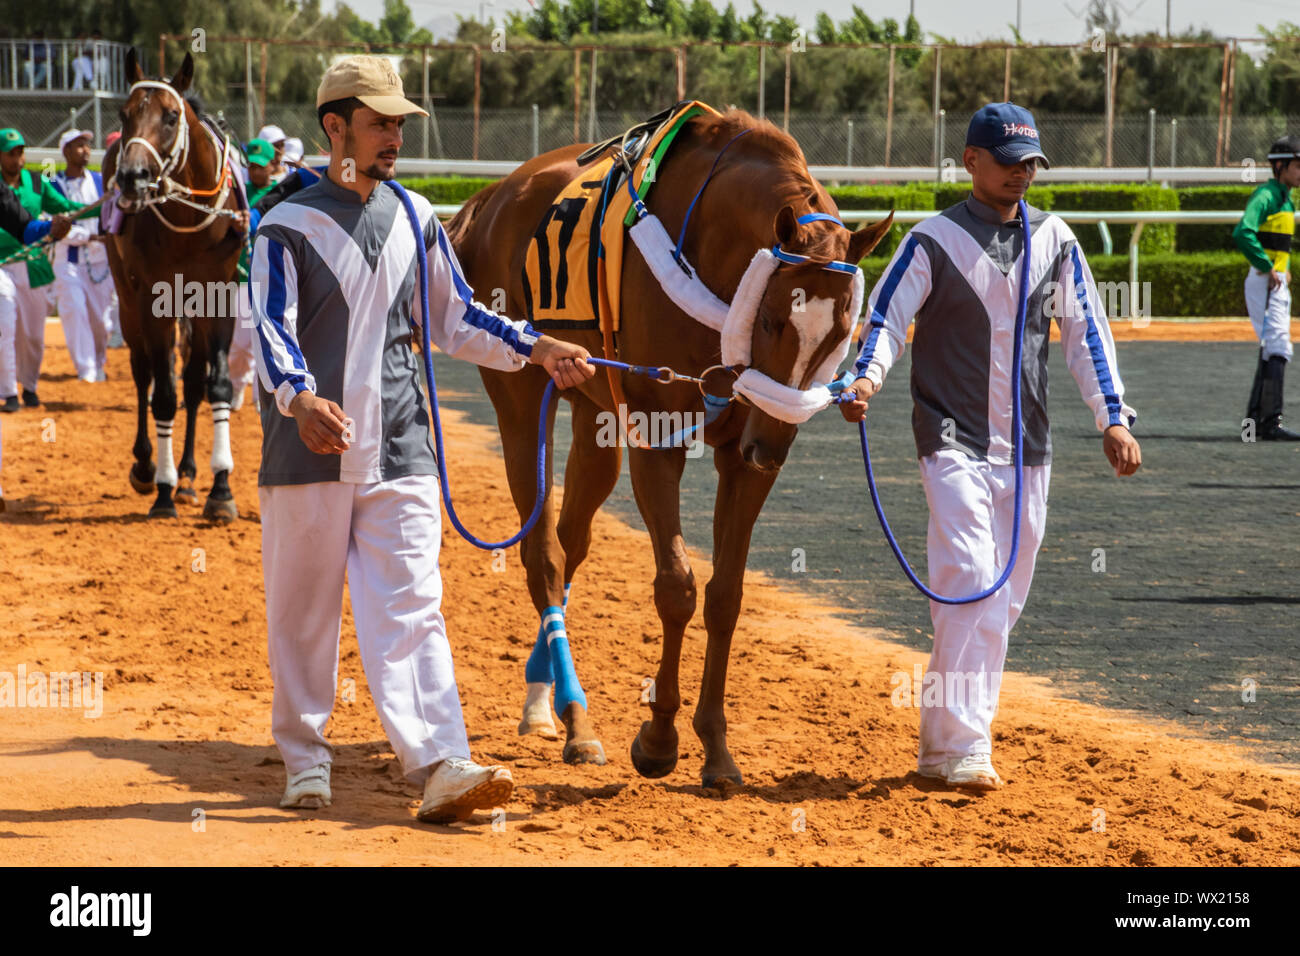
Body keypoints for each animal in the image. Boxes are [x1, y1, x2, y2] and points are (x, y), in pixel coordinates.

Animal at [102, 50, 243, 521]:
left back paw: (187, 475)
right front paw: (162, 491)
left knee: (194, 381)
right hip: (127, 296)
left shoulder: (220, 293)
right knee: (143, 371)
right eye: (124, 114)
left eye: (170, 116)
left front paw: (221, 488)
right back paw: (149, 467)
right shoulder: (150, 298)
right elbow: (162, 393)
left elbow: (216, 384)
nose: (132, 175)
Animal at [447, 108, 892, 786]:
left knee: (572, 543)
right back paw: (577, 722)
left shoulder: (741, 455)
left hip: (592, 407)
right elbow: (676, 586)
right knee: (543, 553)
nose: (772, 445)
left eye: (843, 330)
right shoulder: (656, 436)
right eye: (770, 320)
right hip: (519, 391)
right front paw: (658, 738)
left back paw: (545, 705)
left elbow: (726, 595)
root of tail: (491, 197)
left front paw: (716, 749)